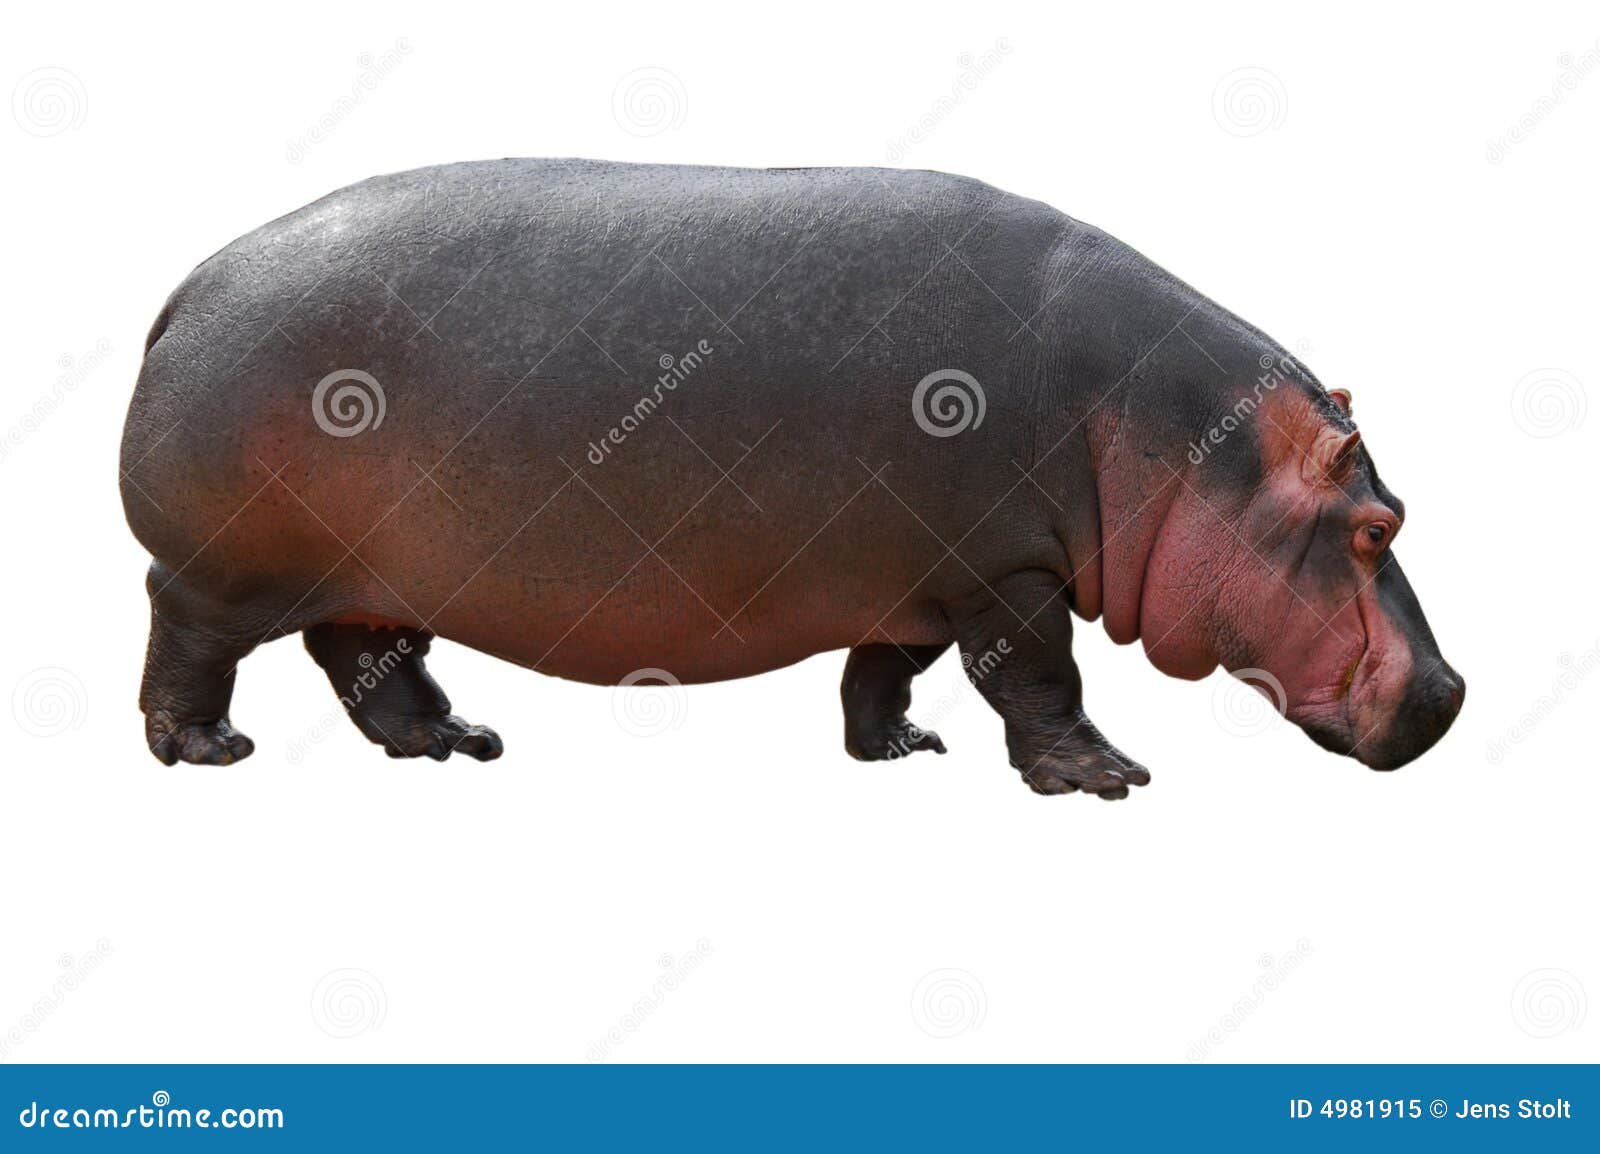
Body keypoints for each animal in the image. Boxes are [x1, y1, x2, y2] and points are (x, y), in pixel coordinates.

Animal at [119, 159, 1464, 798]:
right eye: (1372, 527)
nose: (1450, 694)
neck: (1181, 439)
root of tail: (190, 283)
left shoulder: (922, 577)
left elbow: (886, 669)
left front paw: (900, 748)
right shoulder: (1009, 569)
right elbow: (1041, 676)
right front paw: (1104, 779)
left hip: (367, 570)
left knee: (361, 654)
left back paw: (455, 741)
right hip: (220, 567)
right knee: (189, 639)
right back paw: (207, 749)